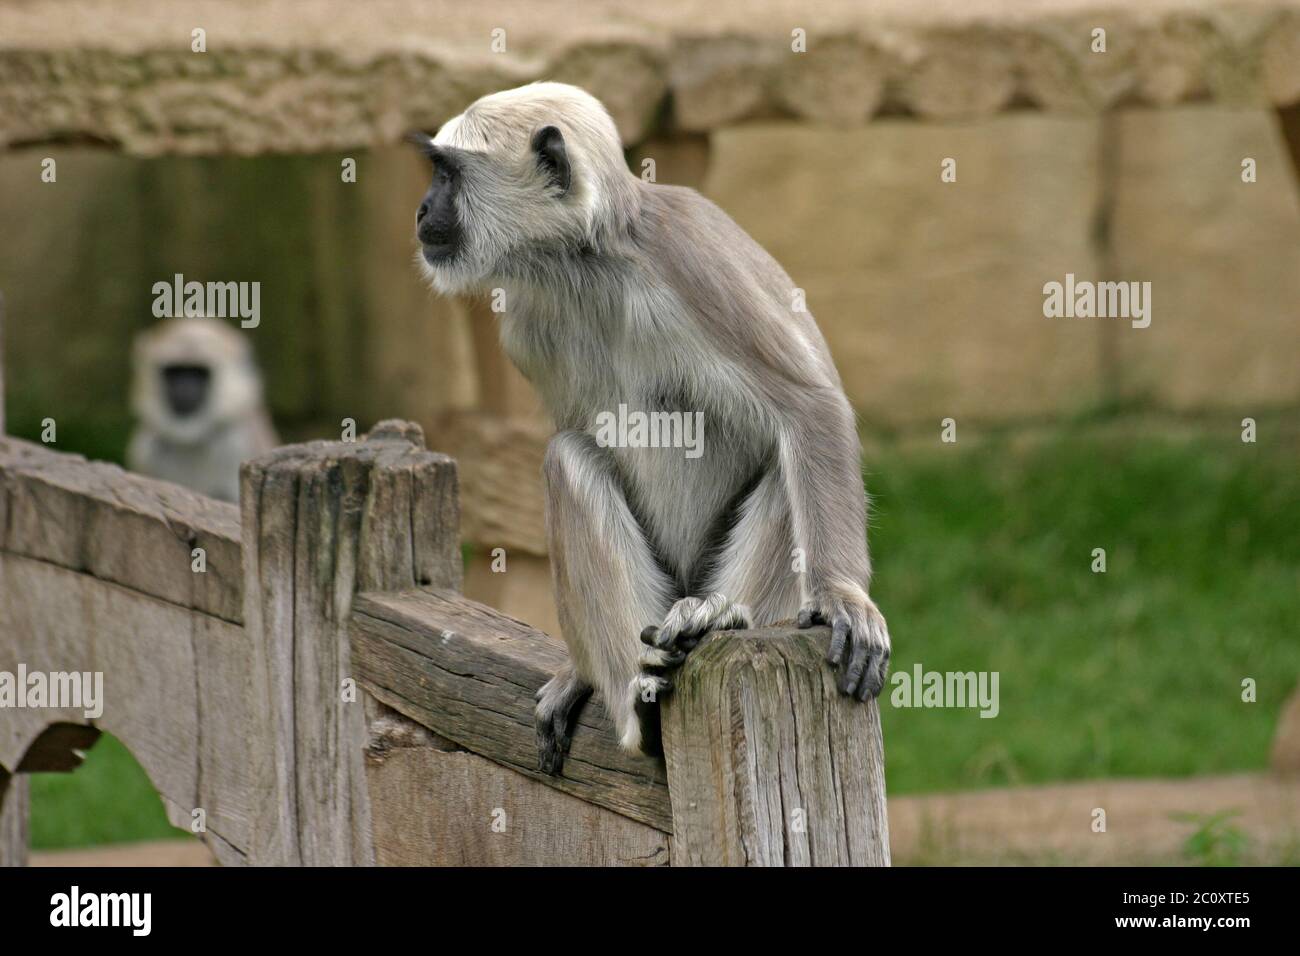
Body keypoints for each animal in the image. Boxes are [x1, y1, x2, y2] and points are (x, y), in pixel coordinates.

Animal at [126, 316, 277, 503]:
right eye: (174, 371)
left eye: (199, 373)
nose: (184, 387)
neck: (192, 440)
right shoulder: (146, 450)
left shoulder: (235, 443)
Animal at [413, 82, 890, 773]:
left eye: (447, 174)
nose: (423, 208)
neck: (587, 263)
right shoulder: (525, 322)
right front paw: (578, 675)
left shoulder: (684, 254)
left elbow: (811, 407)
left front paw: (842, 598)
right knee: (569, 454)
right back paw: (636, 697)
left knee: (782, 461)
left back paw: (715, 623)